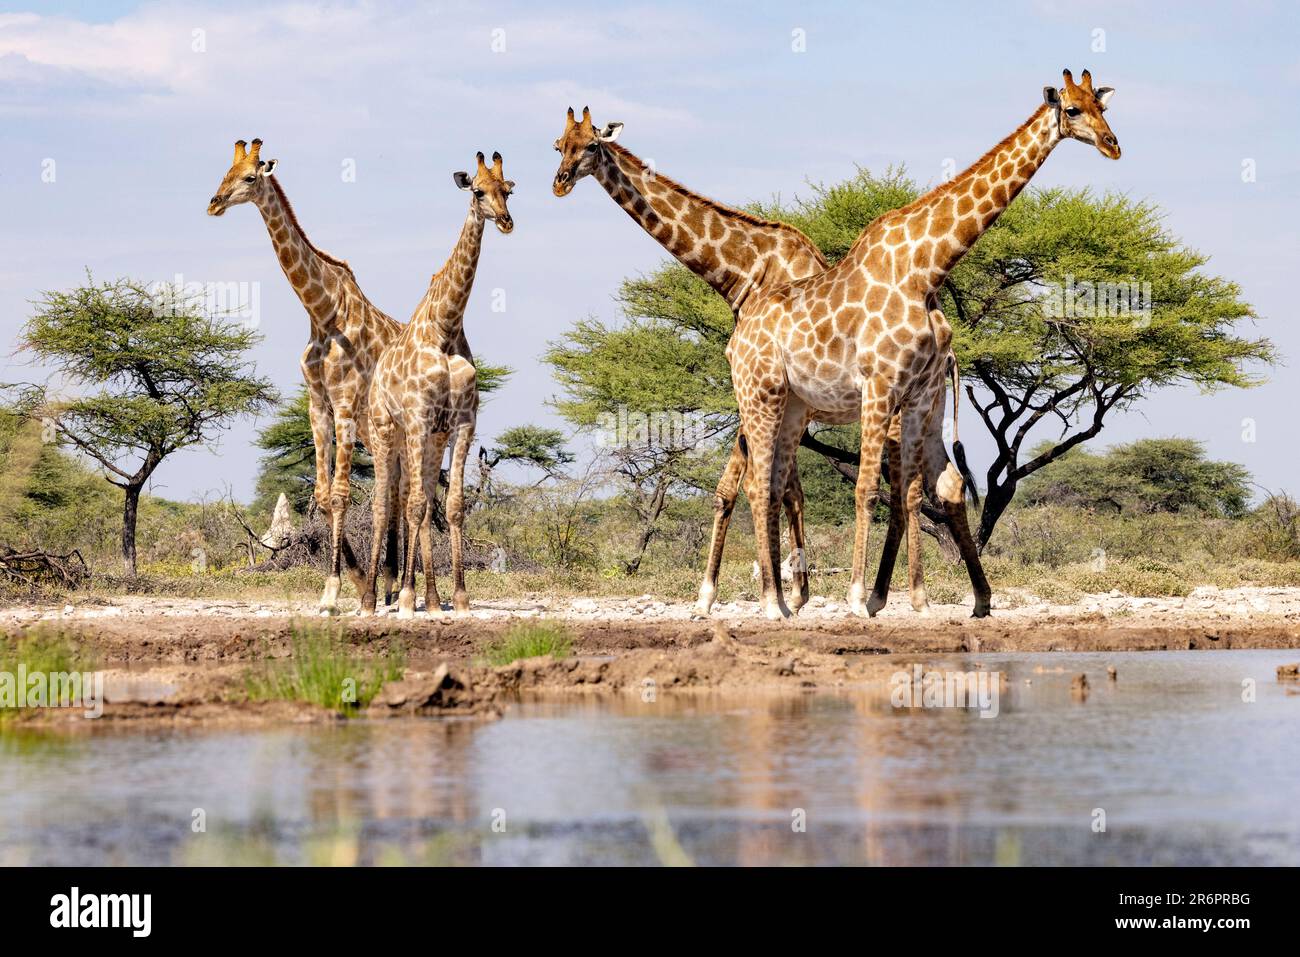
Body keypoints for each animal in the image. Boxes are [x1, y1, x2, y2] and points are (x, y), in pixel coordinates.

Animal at [207, 138, 402, 614]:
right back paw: (388, 584)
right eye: (224, 172)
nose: (214, 203)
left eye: (250, 177)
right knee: (391, 490)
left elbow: (340, 493)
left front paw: (335, 591)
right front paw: (354, 582)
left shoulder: (346, 400)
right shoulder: (318, 402)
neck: (322, 311)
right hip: (376, 428)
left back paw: (395, 587)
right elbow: (321, 495)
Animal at [362, 151, 514, 619]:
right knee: (385, 505)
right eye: (478, 191)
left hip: (432, 438)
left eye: (509, 189)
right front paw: (404, 599)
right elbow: (411, 507)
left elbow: (453, 507)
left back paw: (430, 596)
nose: (506, 221)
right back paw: (372, 598)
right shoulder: (417, 418)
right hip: (385, 430)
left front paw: (459, 597)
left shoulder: (462, 423)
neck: (446, 328)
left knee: (426, 502)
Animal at [550, 106, 826, 614]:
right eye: (559, 144)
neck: (745, 273)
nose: (559, 183)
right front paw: (716, 595)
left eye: (592, 145)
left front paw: (771, 595)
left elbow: (754, 487)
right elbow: (739, 491)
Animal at [729, 69, 1120, 620]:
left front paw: (908, 598)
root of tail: (737, 334)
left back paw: (785, 603)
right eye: (1072, 110)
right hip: (758, 396)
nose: (1113, 145)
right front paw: (857, 598)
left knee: (777, 481)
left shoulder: (916, 394)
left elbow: (911, 491)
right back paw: (770, 603)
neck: (926, 267)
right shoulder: (877, 386)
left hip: (793, 406)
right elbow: (867, 489)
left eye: (1104, 108)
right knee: (759, 483)